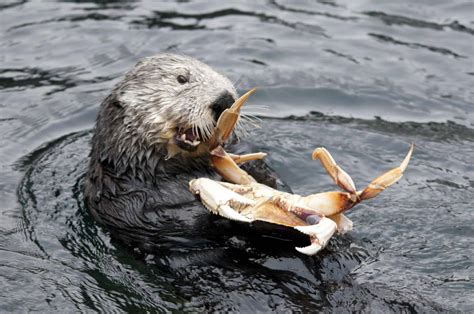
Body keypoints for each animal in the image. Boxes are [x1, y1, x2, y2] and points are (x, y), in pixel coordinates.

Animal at [84, 53, 286, 248]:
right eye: (182, 79)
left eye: (225, 81)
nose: (225, 99)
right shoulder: (124, 202)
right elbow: (179, 223)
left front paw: (257, 170)